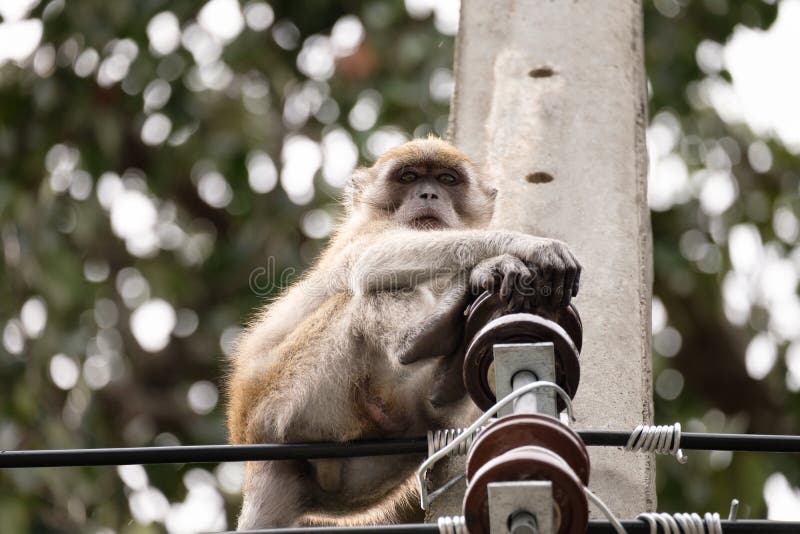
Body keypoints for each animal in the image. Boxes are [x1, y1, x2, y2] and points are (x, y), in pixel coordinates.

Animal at [226, 137, 581, 529]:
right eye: (409, 176)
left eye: (447, 179)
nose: (428, 193)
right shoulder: (368, 231)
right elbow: (372, 262)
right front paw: (522, 246)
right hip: (289, 398)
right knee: (372, 293)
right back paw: (427, 334)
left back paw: (443, 381)